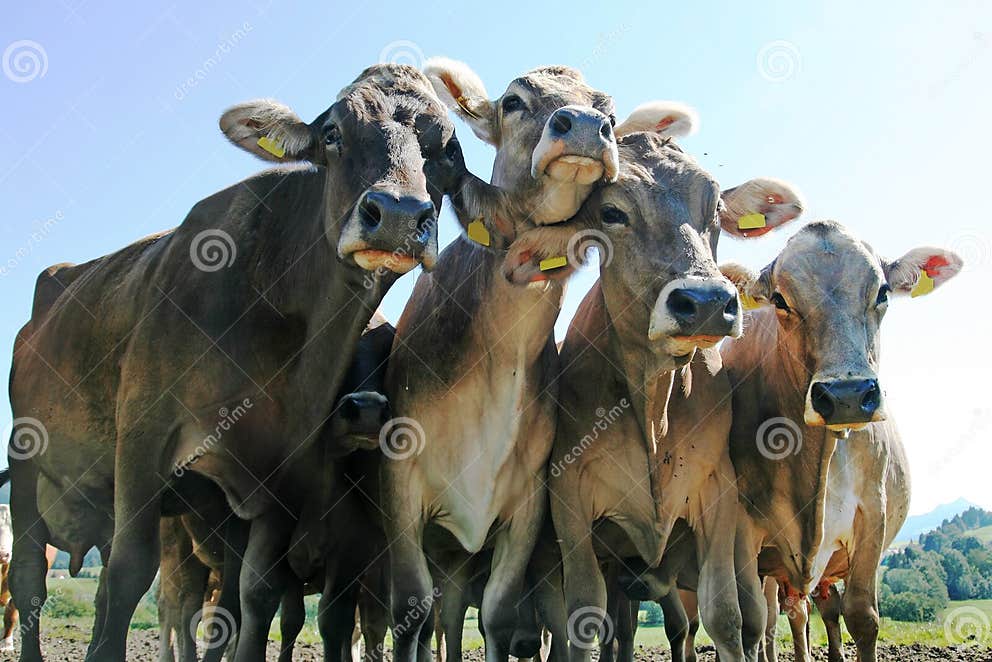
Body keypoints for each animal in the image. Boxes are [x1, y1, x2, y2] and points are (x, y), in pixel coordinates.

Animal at [6, 63, 491, 662]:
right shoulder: (142, 435)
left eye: (447, 150)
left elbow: (255, 596)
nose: (398, 216)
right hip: (27, 459)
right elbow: (126, 573)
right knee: (29, 578)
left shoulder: (278, 483)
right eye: (332, 132)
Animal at [380, 56, 701, 662]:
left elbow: (498, 615)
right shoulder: (401, 489)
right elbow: (408, 611)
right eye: (513, 101)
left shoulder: (528, 504)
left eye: (608, 111)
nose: (584, 126)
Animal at [548, 131, 804, 662]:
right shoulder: (568, 498)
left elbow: (725, 616)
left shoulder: (717, 489)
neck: (653, 408)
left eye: (716, 209)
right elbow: (584, 617)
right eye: (611, 212)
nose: (706, 303)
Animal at [712, 221, 961, 662]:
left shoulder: (873, 512)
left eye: (882, 292)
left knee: (821, 611)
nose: (847, 395)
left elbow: (861, 616)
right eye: (780, 299)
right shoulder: (743, 528)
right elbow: (752, 623)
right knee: (780, 617)